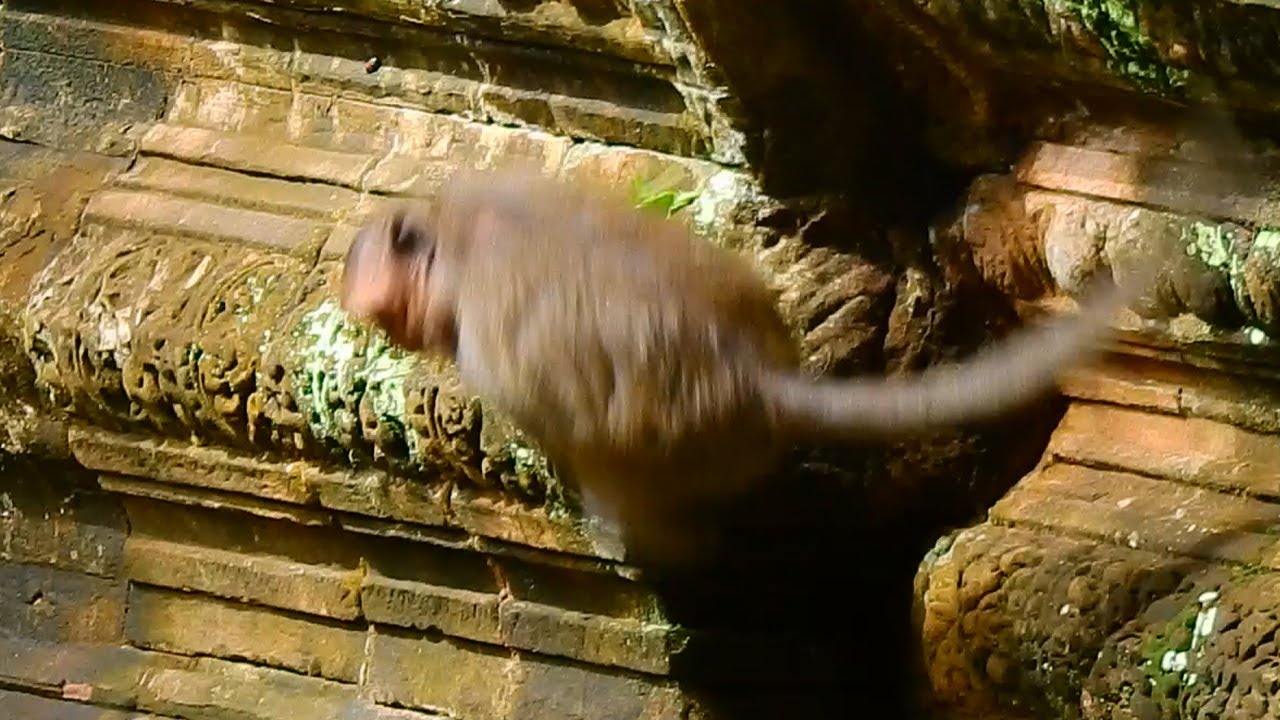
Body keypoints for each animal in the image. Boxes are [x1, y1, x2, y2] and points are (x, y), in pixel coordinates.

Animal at [340, 167, 1156, 568]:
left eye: (382, 301)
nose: (388, 326)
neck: (452, 233)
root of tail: (750, 378)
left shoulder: (483, 326)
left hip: (659, 453)